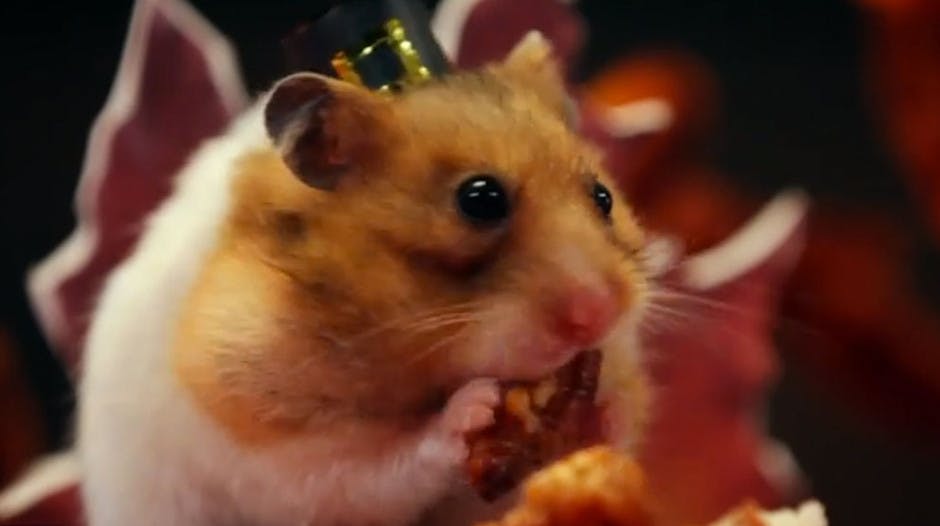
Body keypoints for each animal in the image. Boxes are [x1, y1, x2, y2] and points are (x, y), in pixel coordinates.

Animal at [77, 32, 652, 526]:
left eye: (603, 196)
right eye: (480, 199)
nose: (600, 314)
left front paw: (611, 407)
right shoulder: (276, 446)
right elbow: (382, 469)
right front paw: (475, 407)